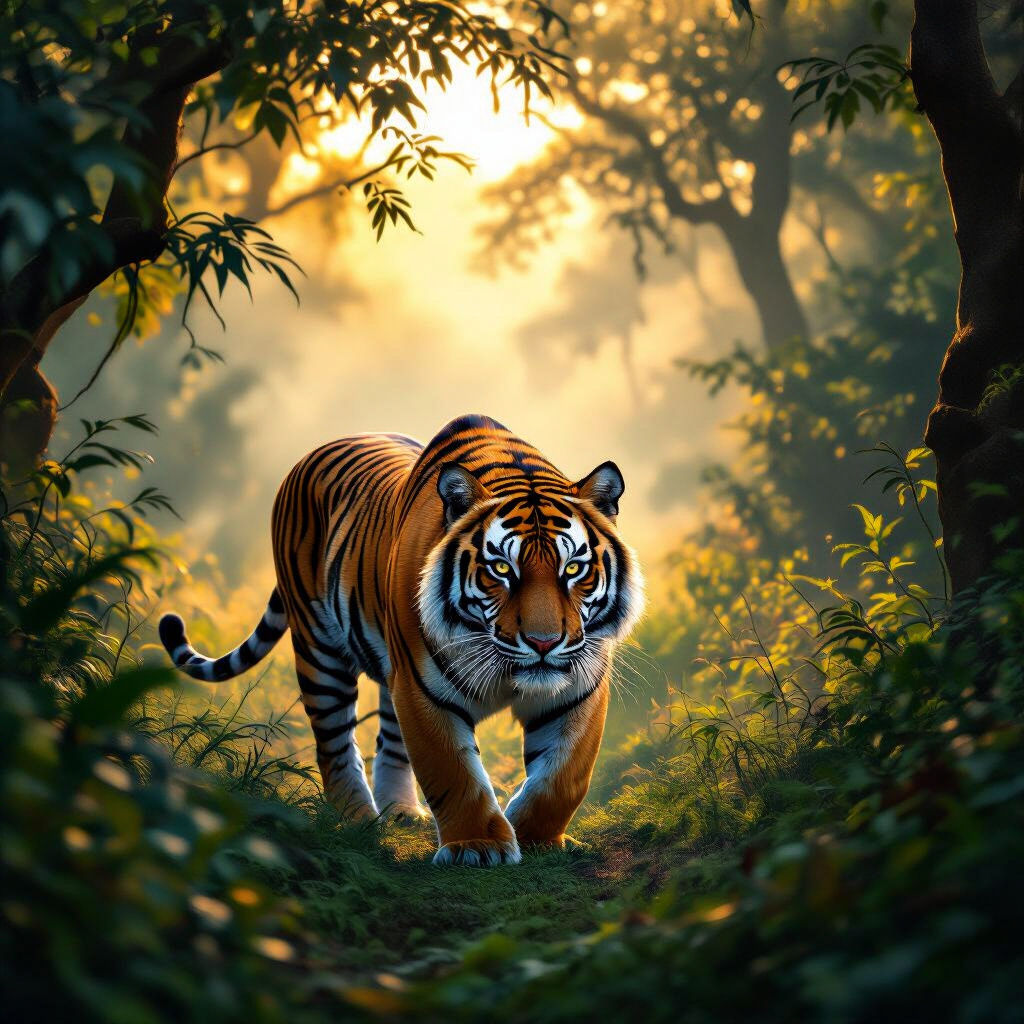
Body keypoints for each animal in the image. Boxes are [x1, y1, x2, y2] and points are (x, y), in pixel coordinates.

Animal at [159, 414, 644, 866]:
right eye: (501, 569)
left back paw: (401, 812)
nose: (543, 643)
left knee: (389, 740)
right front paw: (477, 847)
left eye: (573, 568)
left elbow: (564, 776)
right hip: (321, 650)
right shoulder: (424, 689)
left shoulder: (579, 688)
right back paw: (358, 823)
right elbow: (453, 771)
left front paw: (537, 839)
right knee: (335, 744)